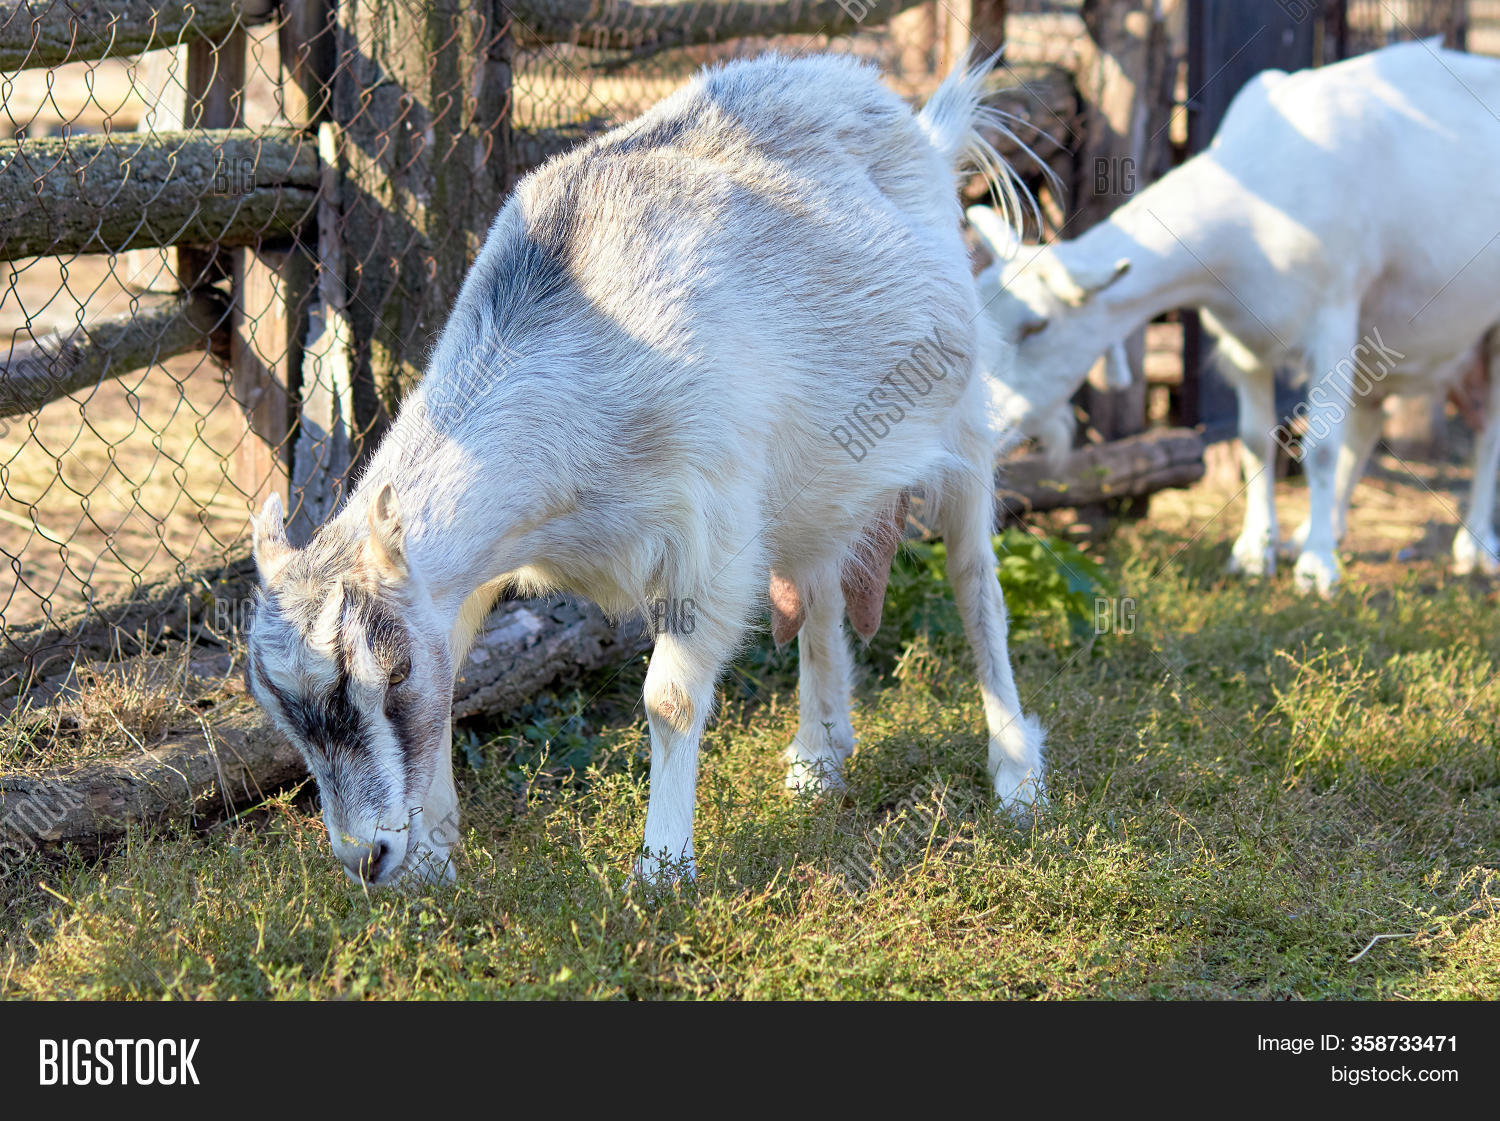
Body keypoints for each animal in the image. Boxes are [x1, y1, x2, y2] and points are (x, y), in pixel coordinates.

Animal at [246, 53, 1046, 886]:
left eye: (393, 675)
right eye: (280, 711)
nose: (366, 855)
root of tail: (919, 124)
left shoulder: (711, 535)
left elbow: (669, 698)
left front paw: (662, 867)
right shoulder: (473, 568)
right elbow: (456, 674)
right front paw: (434, 859)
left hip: (962, 422)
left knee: (975, 582)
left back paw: (1017, 773)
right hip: (817, 476)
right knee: (822, 586)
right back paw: (819, 754)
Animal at [972, 40, 1500, 595]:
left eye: (1037, 326)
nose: (981, 423)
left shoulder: (1334, 315)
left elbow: (1323, 446)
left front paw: (1317, 567)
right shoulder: (1245, 340)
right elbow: (1253, 440)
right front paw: (1255, 550)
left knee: (1488, 429)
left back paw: (1475, 547)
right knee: (1369, 421)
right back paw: (1320, 529)